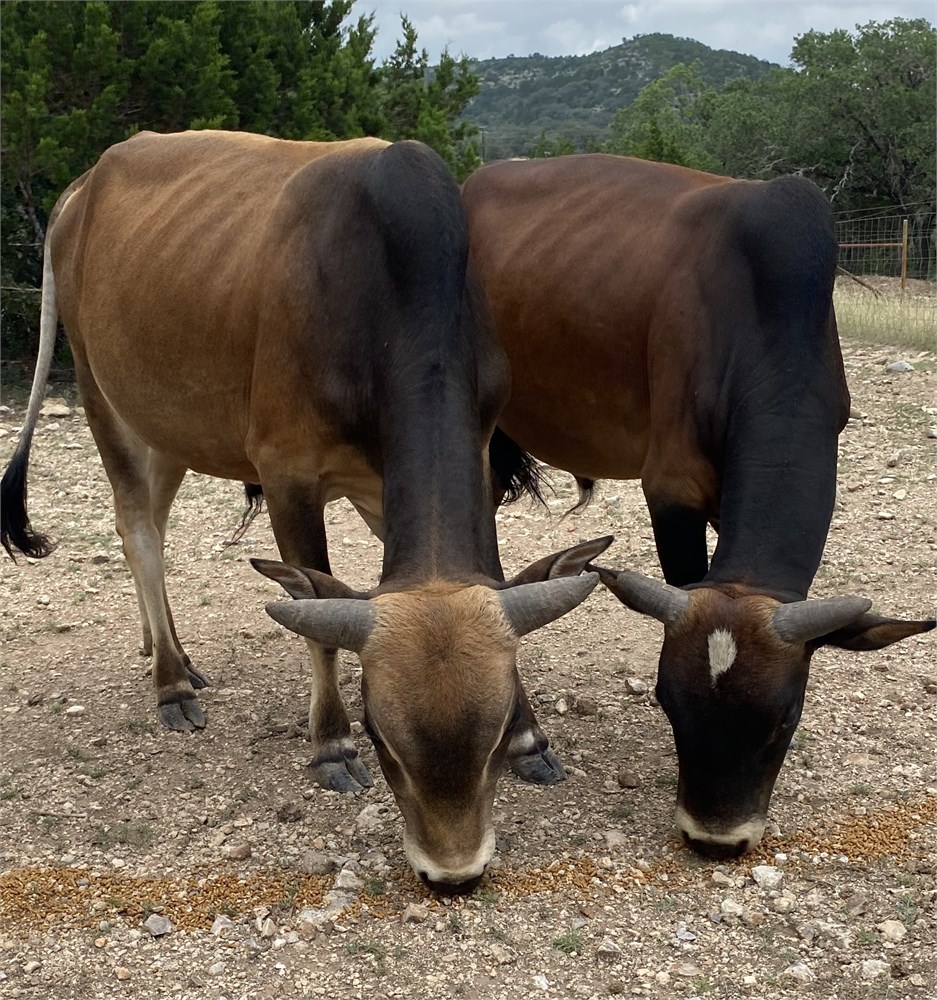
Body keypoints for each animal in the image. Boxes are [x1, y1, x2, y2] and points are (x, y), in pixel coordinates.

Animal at [0, 131, 613, 893]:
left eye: (494, 735)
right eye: (382, 738)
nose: (454, 873)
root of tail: (82, 187)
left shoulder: (450, 460)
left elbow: (492, 581)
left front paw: (535, 738)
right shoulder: (286, 471)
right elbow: (316, 616)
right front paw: (329, 747)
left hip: (170, 429)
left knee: (153, 528)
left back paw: (174, 655)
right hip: (103, 398)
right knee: (138, 532)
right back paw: (170, 683)